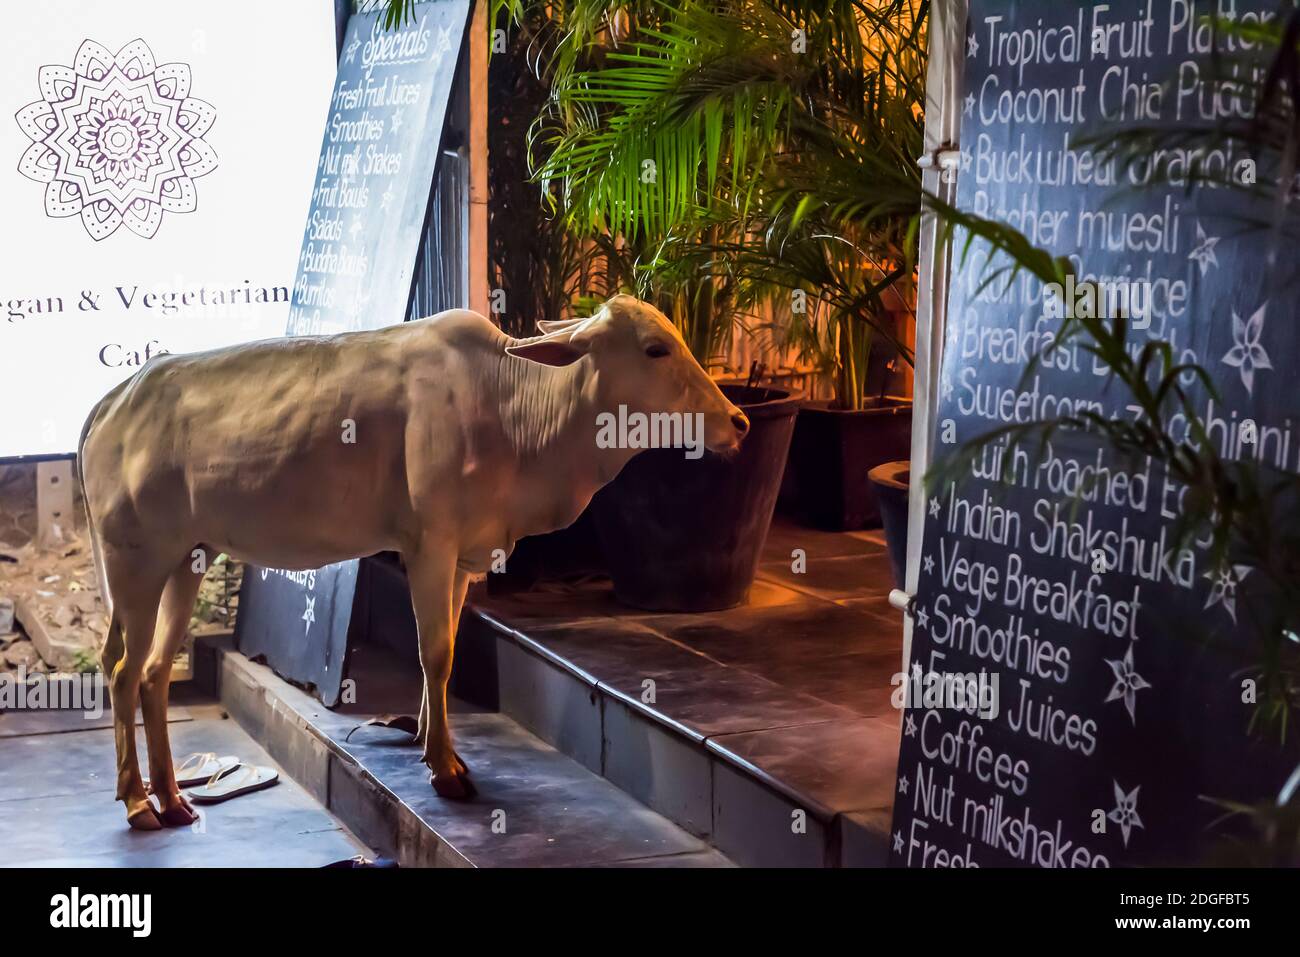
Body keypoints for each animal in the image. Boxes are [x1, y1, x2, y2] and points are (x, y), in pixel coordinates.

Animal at [78, 295, 749, 830]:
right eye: (655, 348)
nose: (740, 421)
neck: (513, 414)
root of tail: (114, 399)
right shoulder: (431, 544)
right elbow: (437, 651)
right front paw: (444, 769)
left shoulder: (465, 557)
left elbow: (446, 645)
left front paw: (433, 743)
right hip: (136, 562)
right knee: (124, 670)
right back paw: (137, 802)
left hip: (185, 560)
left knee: (152, 671)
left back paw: (171, 798)